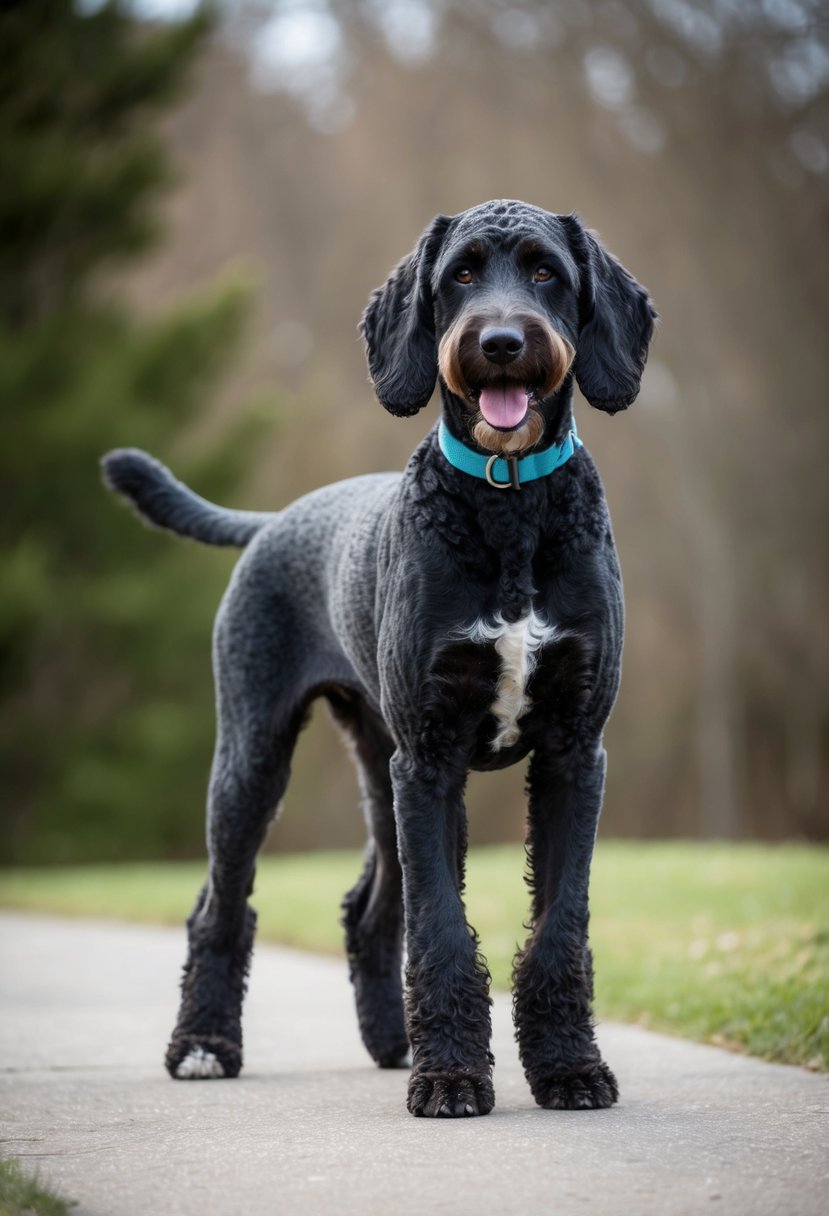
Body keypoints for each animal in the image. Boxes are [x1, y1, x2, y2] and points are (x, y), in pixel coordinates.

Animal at [103, 201, 651, 1118]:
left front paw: (569, 1069)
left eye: (546, 272)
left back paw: (394, 1041)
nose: (500, 341)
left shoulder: (571, 755)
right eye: (460, 274)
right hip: (255, 757)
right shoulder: (430, 760)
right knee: (222, 906)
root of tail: (275, 521)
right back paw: (206, 1046)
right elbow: (439, 927)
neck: (508, 504)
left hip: (377, 762)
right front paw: (454, 1078)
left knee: (367, 910)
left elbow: (557, 925)